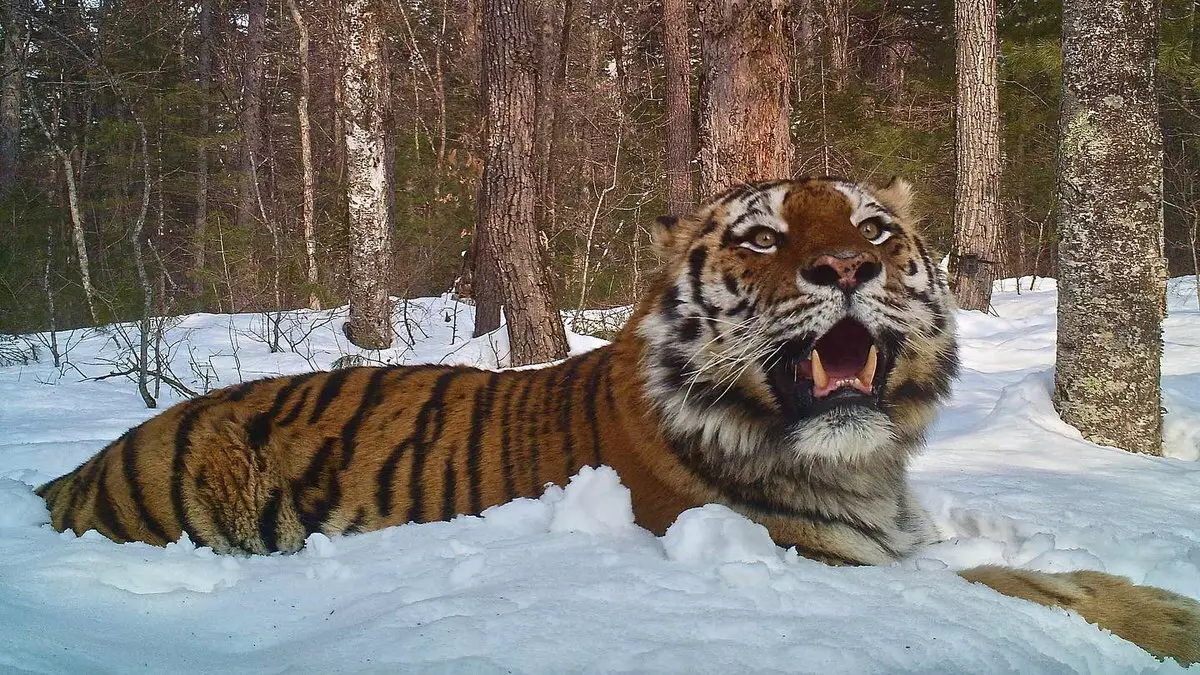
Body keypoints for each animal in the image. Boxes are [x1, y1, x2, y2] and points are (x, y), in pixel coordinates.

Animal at [37, 174, 1200, 662]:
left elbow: (1050, 574)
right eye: (765, 237)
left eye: (874, 227)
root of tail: (72, 474)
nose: (850, 267)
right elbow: (1016, 587)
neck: (860, 464)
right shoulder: (819, 556)